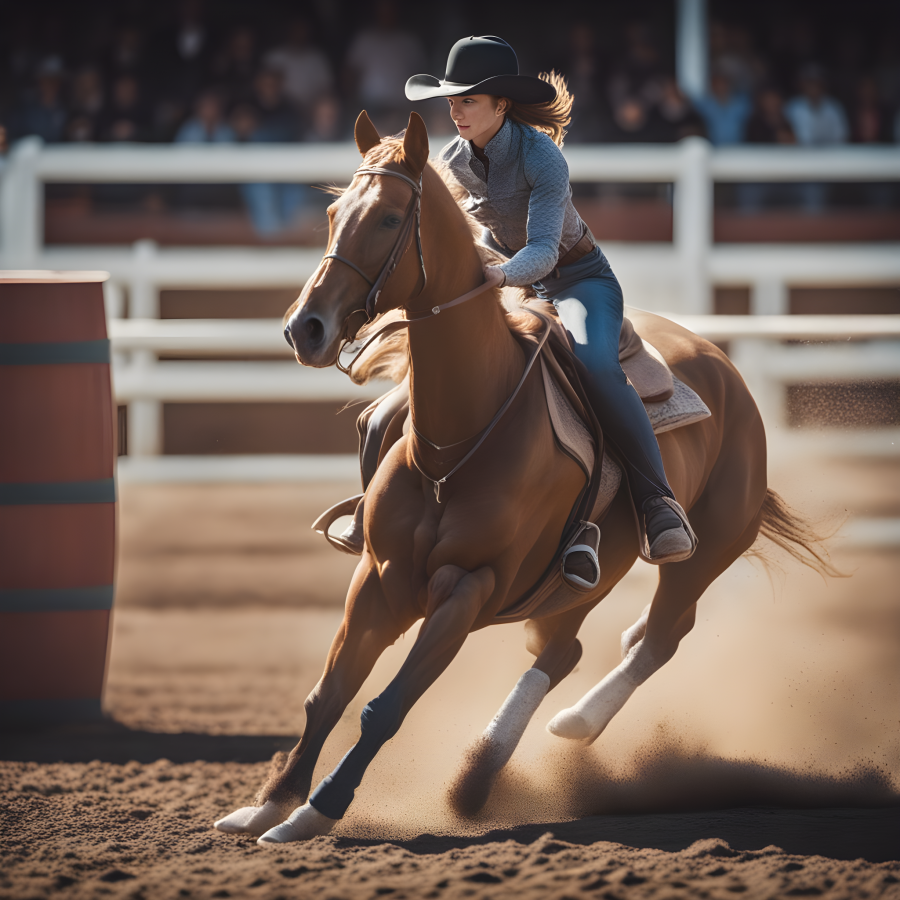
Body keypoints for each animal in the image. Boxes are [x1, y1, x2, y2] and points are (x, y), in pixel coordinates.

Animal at [214, 111, 834, 844]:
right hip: (584, 580)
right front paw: (270, 805)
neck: (458, 442)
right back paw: (484, 770)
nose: (304, 328)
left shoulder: (466, 589)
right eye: (336, 213)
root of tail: (724, 369)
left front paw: (319, 807)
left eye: (391, 217)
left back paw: (566, 729)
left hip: (703, 551)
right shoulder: (378, 576)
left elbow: (386, 705)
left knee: (657, 637)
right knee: (564, 651)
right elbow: (328, 693)